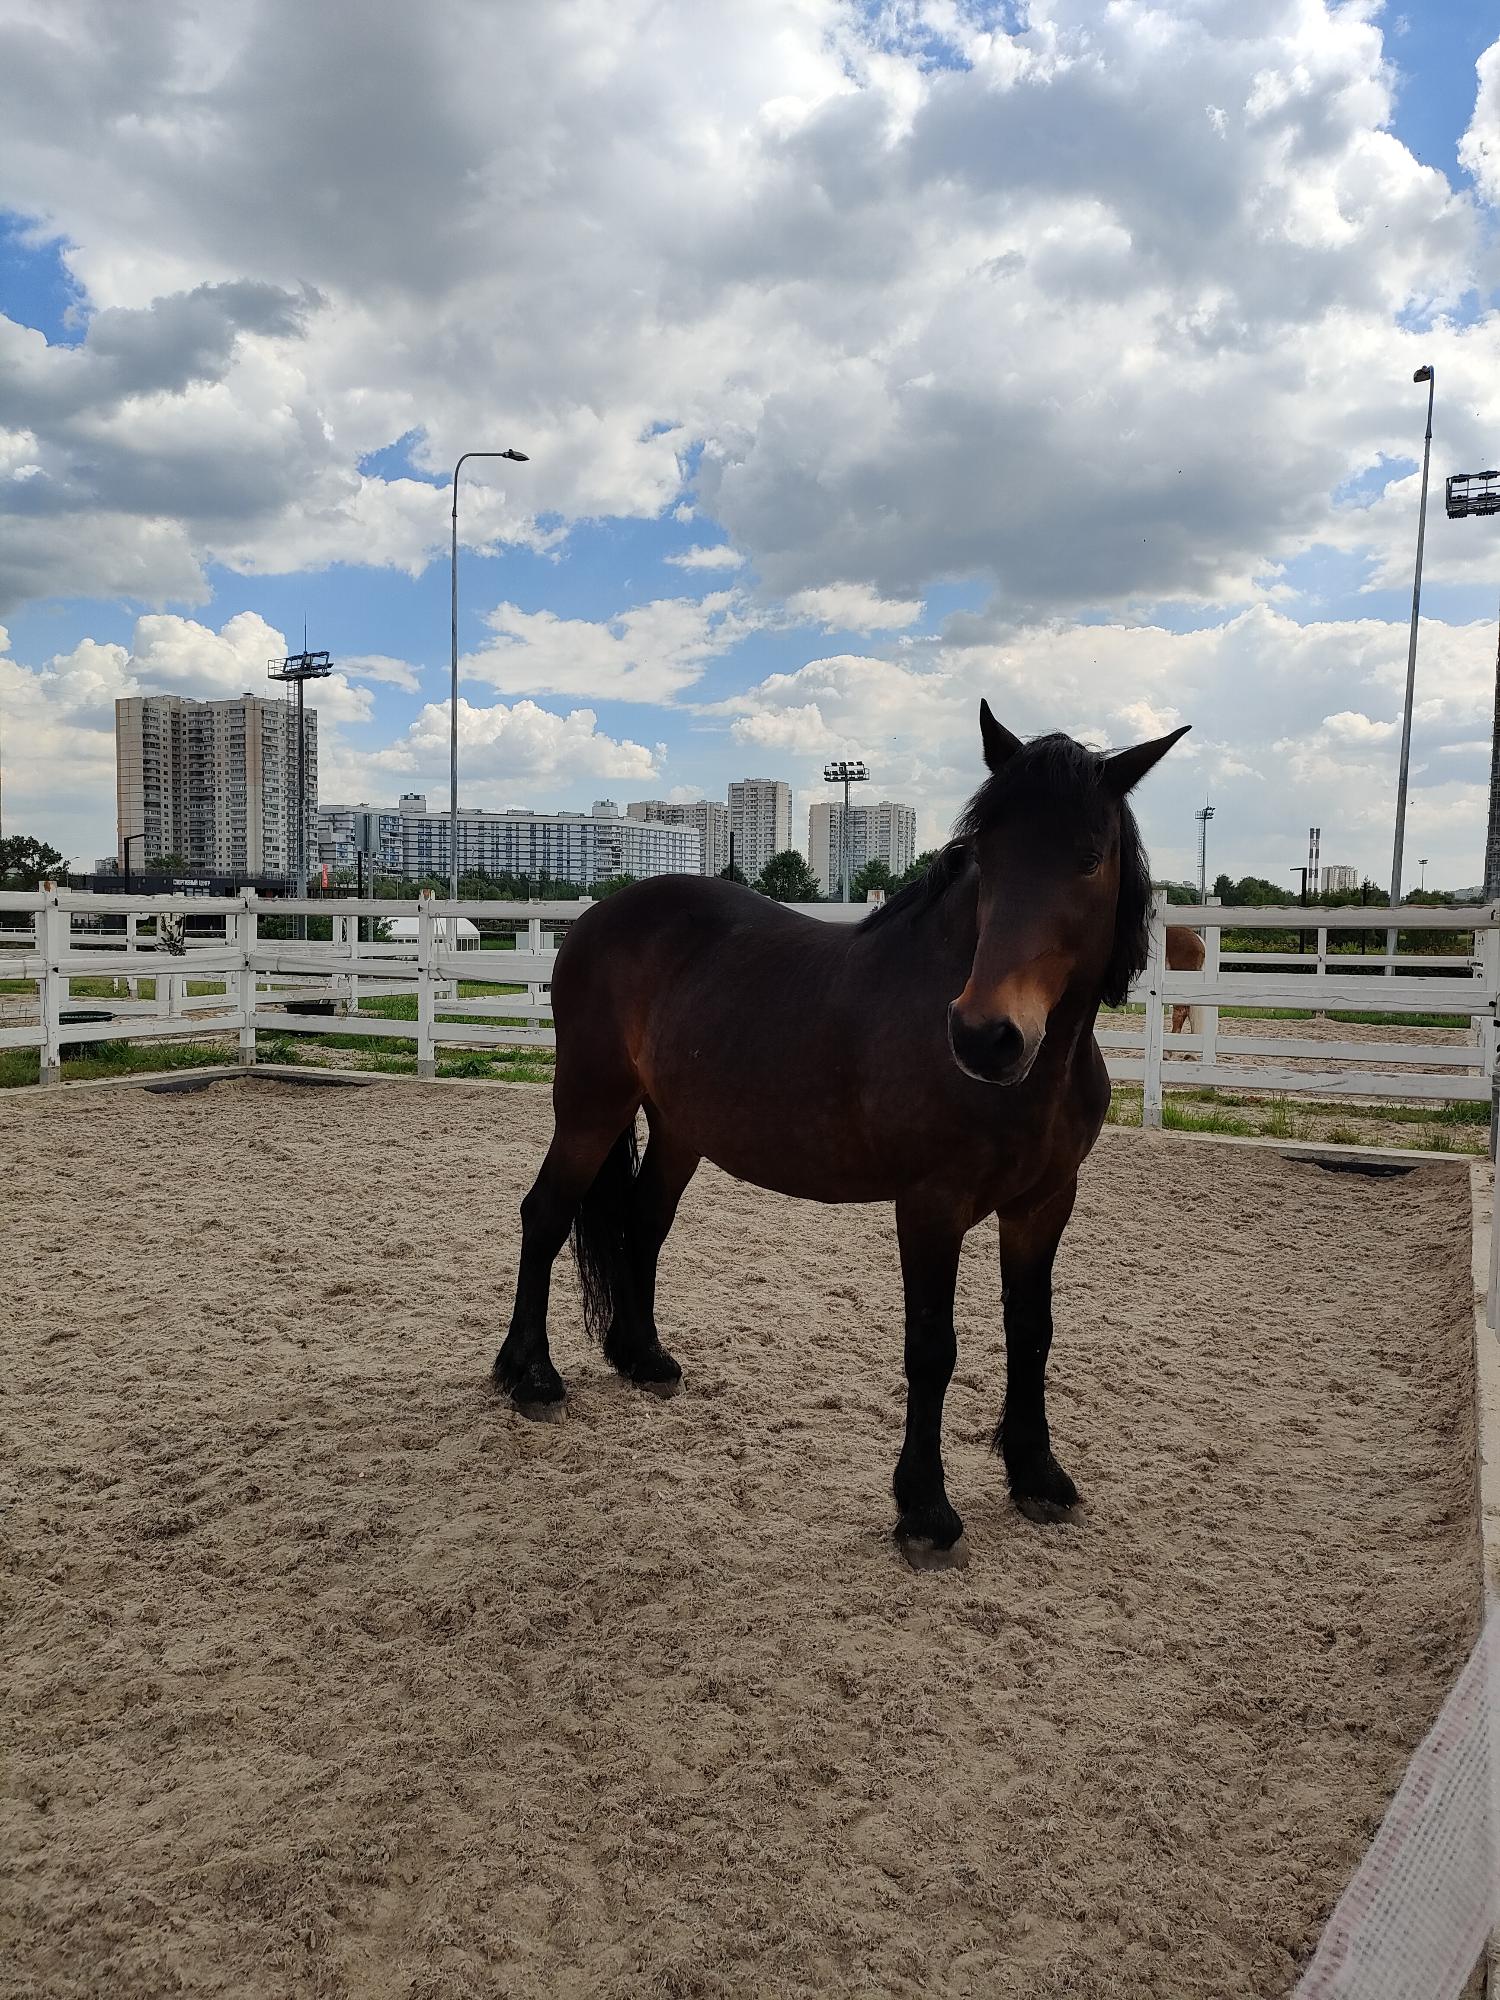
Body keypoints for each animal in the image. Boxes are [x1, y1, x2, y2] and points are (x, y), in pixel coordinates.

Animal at [496, 705, 1189, 1564]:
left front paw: (1037, 1476)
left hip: (680, 1128)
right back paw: (529, 1376)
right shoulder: (930, 1206)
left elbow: (1032, 1331)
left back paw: (643, 1358)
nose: (986, 1035)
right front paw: (925, 1511)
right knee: (545, 1216)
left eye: (1090, 857)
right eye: (984, 854)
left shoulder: (1045, 1203)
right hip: (590, 1107)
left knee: (642, 1224)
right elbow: (932, 1348)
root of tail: (597, 918)